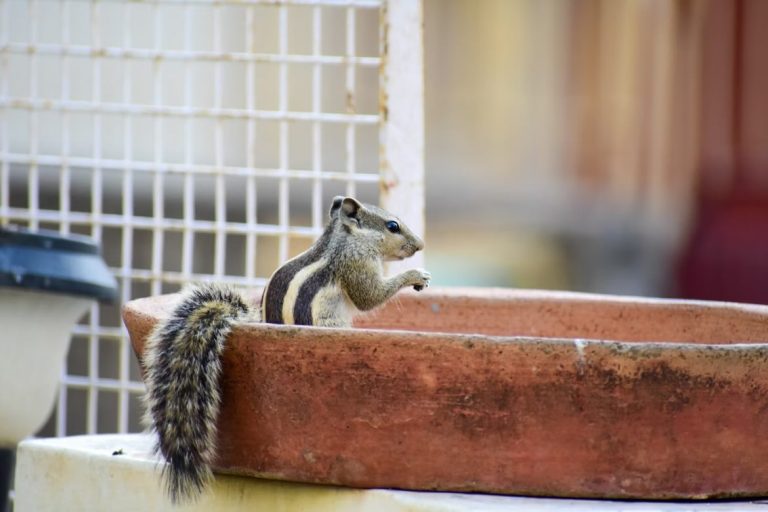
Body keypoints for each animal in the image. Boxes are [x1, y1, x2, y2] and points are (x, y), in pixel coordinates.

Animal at [142, 196, 430, 503]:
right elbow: (369, 297)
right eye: (392, 226)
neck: (342, 239)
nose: (420, 245)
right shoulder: (357, 264)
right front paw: (415, 275)